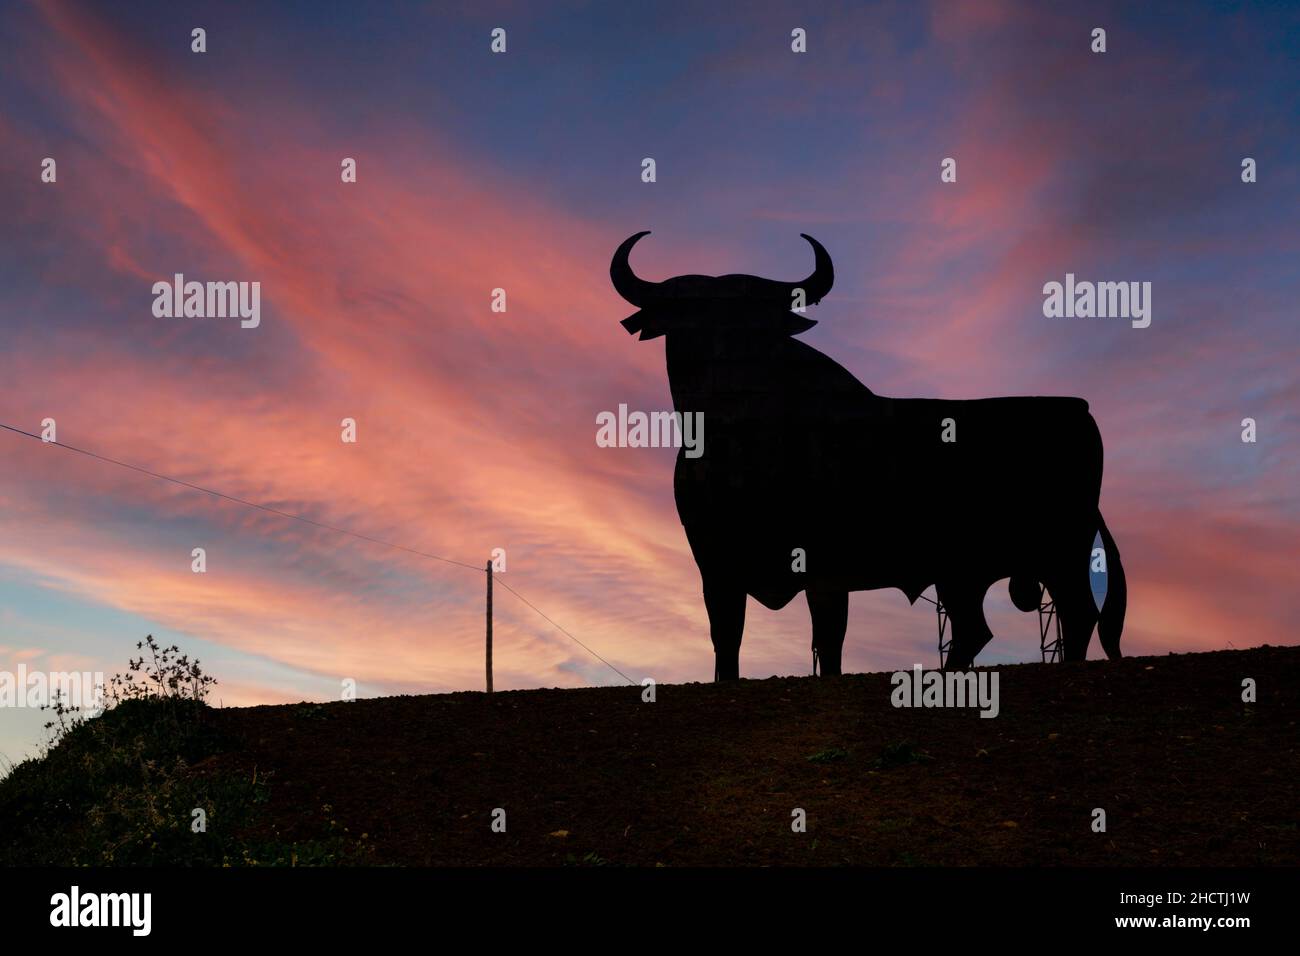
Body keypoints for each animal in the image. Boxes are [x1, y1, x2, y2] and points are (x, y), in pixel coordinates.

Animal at [610, 231, 1127, 679]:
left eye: (755, 321)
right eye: (686, 312)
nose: (725, 367)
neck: (740, 440)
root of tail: (1078, 409)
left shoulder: (824, 563)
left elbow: (828, 636)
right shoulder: (716, 564)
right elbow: (727, 637)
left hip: (1057, 549)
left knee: (1074, 614)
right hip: (969, 571)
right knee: (978, 628)